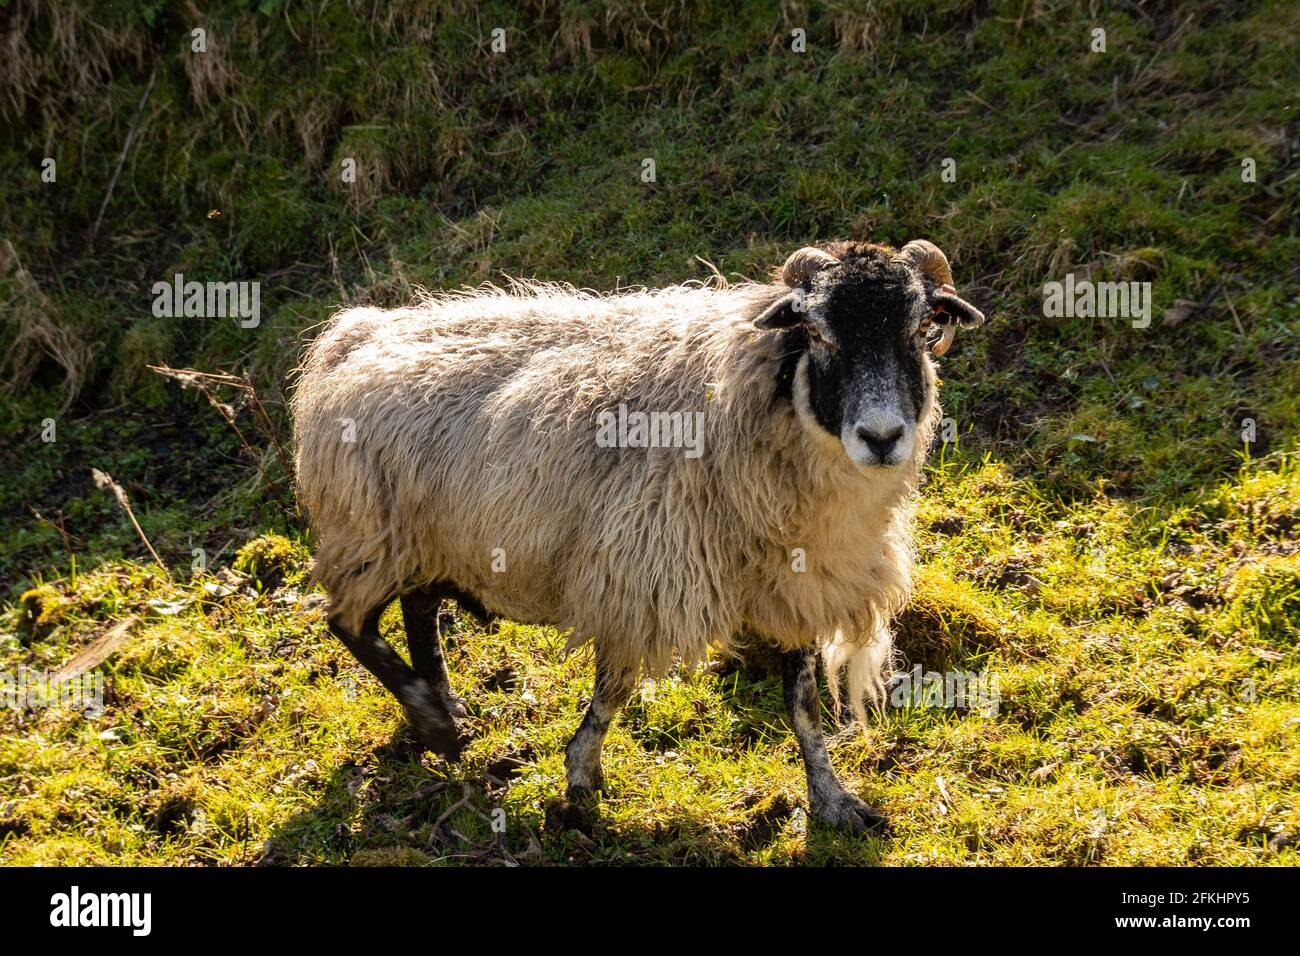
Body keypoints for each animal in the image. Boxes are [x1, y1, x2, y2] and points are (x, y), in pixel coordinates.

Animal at [290, 239, 986, 833]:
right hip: (371, 529)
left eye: (920, 329)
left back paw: (444, 705)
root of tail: (357, 334)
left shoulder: (798, 580)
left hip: (432, 537)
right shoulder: (638, 574)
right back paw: (434, 721)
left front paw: (833, 800)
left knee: (418, 605)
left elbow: (803, 702)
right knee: (347, 621)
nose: (881, 437)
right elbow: (613, 689)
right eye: (815, 332)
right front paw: (579, 780)